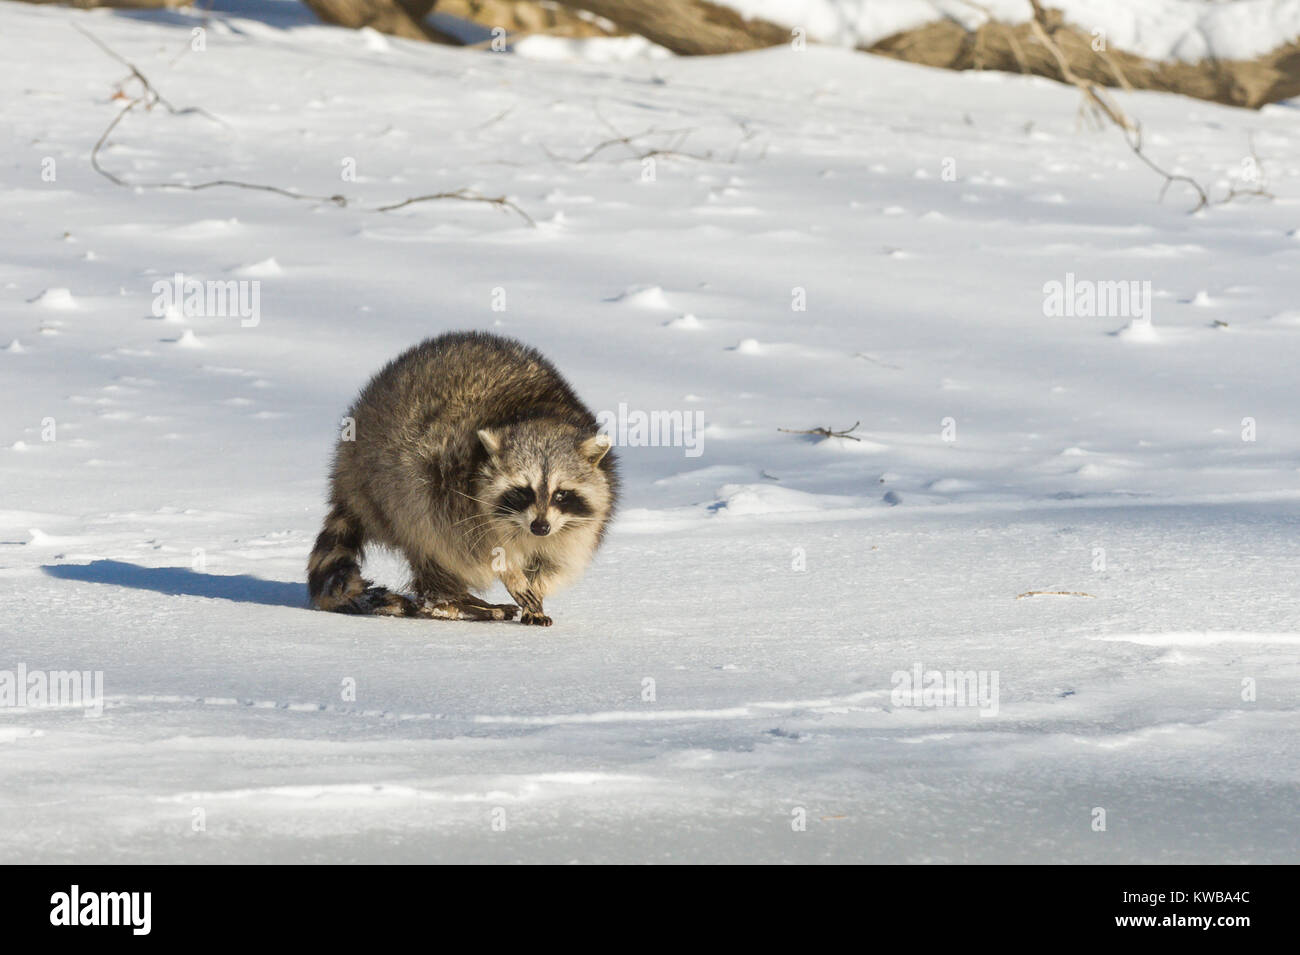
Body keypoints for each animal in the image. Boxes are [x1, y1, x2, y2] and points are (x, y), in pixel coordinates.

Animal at [307, 331, 618, 626]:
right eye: (522, 491)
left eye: (561, 493)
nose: (540, 527)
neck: (539, 414)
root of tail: (346, 474)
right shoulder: (455, 493)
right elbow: (477, 548)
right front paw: (510, 573)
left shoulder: (578, 523)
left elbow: (554, 560)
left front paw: (537, 591)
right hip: (389, 488)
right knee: (429, 544)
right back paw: (451, 603)